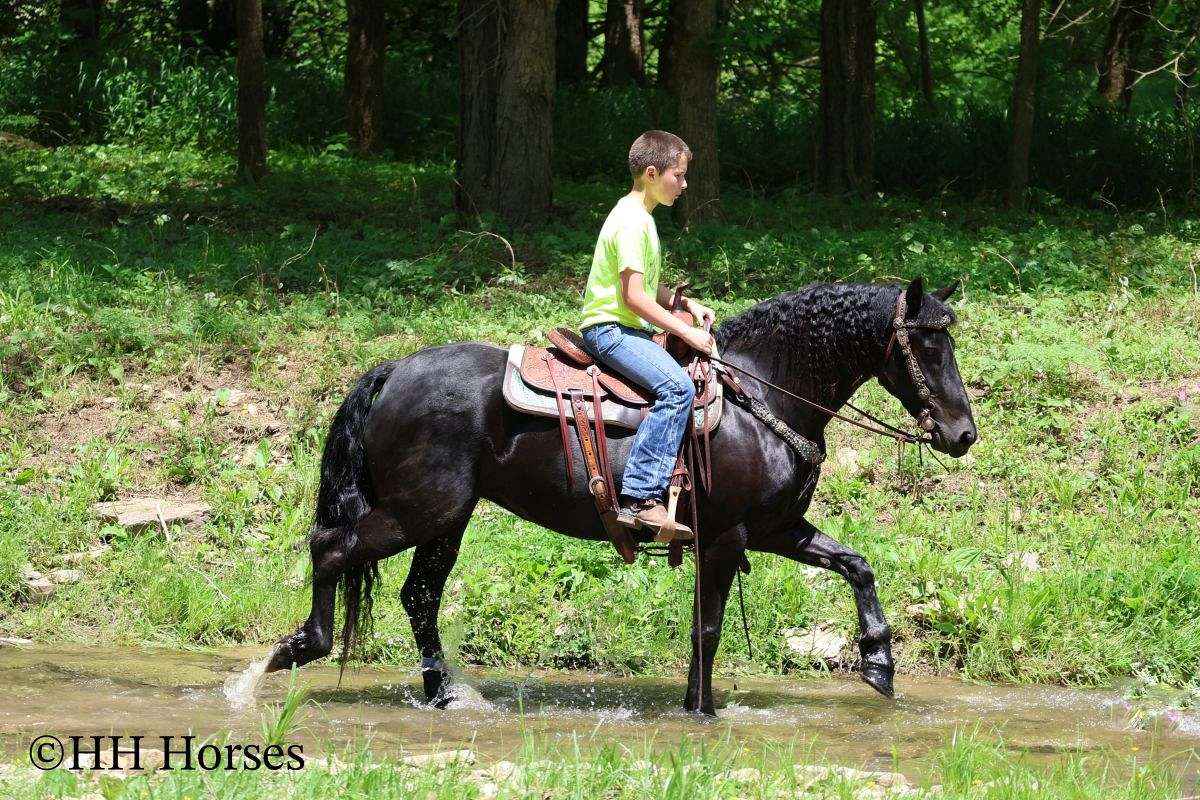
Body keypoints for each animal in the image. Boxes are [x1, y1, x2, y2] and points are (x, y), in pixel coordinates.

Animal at [263, 277, 977, 715]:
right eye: (927, 342)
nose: (962, 433)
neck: (762, 394)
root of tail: (394, 371)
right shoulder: (726, 538)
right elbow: (709, 627)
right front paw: (702, 711)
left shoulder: (777, 528)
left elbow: (857, 565)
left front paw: (879, 662)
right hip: (418, 511)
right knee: (330, 548)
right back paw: (296, 649)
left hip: (447, 517)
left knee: (419, 596)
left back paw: (442, 697)